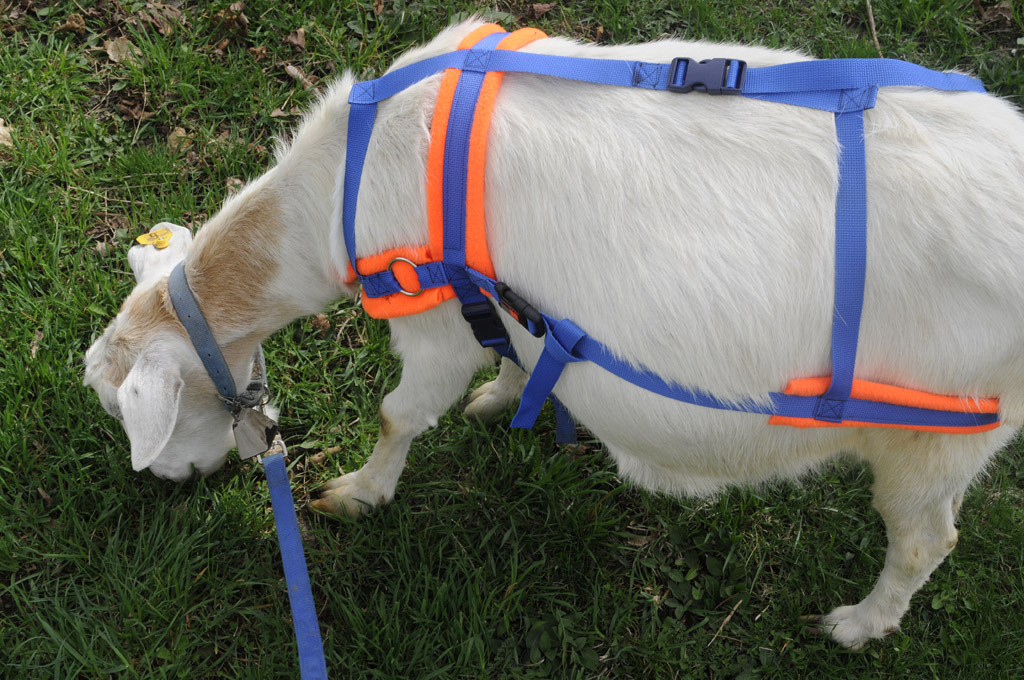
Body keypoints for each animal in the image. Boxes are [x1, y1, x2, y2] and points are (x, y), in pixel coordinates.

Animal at [83, 20, 1024, 648]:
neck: (334, 192)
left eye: (124, 413)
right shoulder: (503, 306)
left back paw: (861, 624)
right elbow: (511, 355)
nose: (166, 484)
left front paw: (357, 493)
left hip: (932, 433)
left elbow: (398, 413)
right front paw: (500, 399)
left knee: (927, 539)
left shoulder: (431, 324)